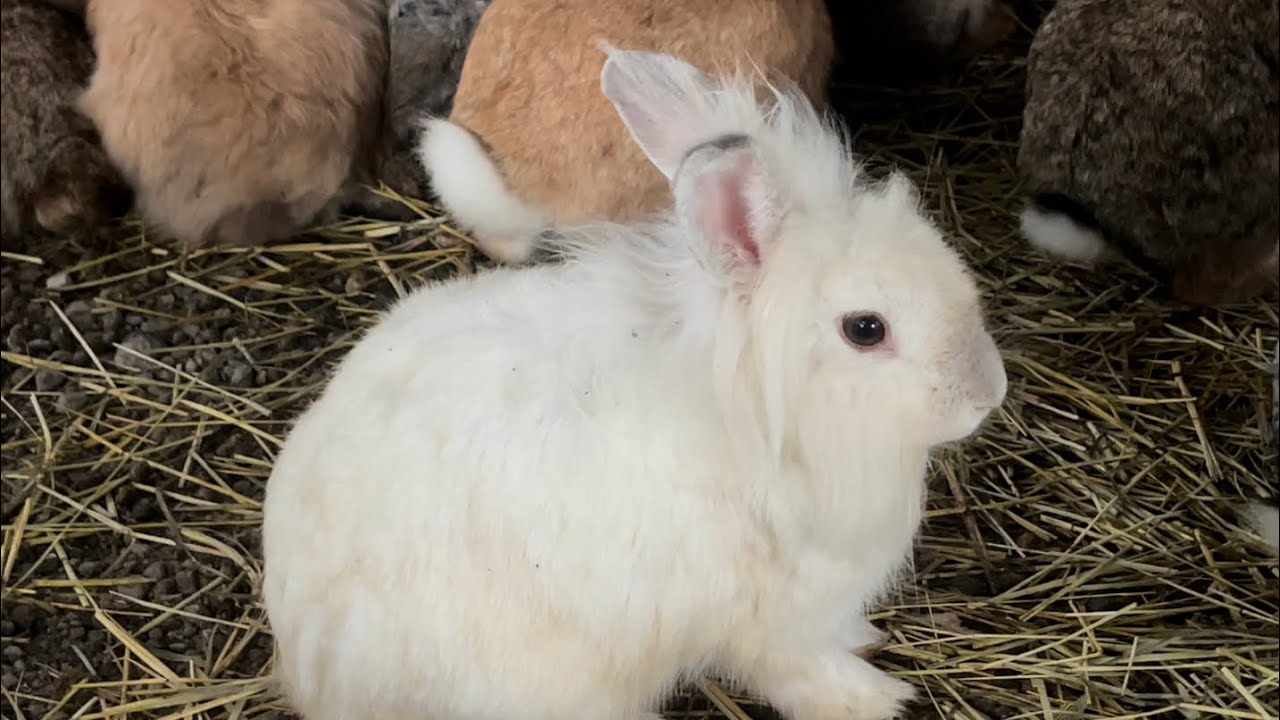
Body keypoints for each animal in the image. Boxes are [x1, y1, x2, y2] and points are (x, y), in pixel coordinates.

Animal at [261, 45, 1008, 720]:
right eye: (866, 329)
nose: (988, 392)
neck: (754, 405)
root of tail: (309, 672)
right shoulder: (771, 620)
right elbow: (799, 670)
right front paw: (876, 698)